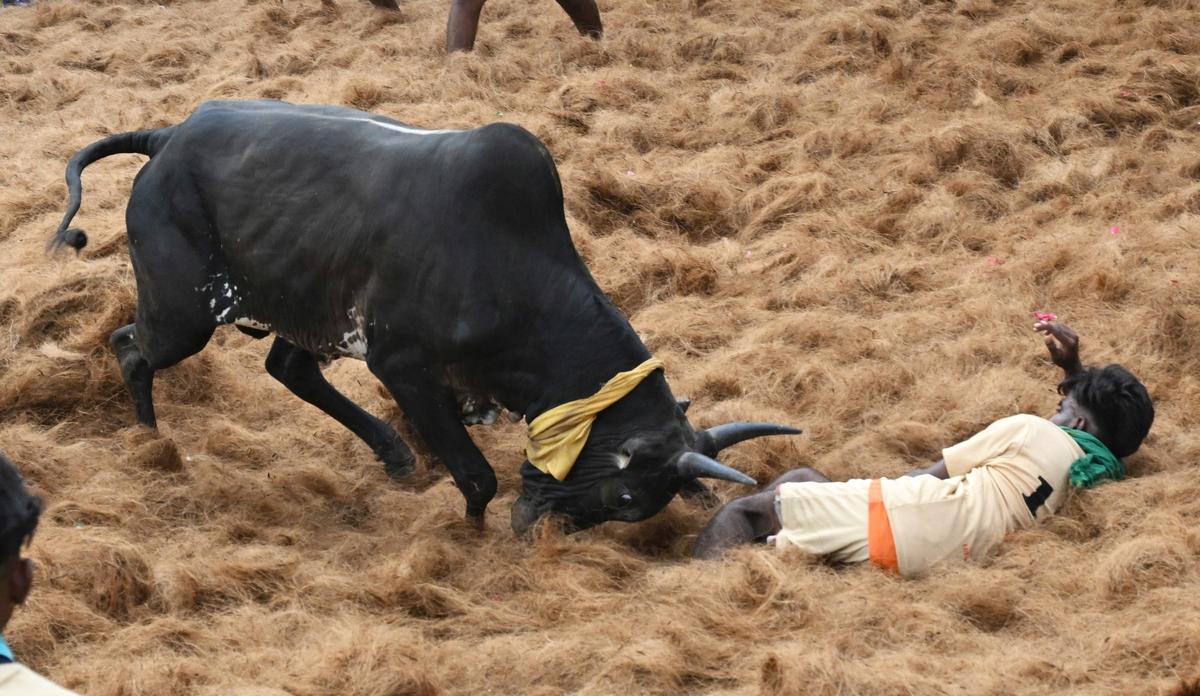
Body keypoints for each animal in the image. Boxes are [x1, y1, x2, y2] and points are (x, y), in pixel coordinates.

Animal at [51, 100, 800, 535]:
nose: (541, 529)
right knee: (131, 346)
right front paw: (470, 531)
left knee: (288, 366)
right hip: (184, 314)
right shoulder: (404, 366)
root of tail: (169, 137)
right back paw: (153, 445)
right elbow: (478, 475)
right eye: (623, 498)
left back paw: (392, 452)